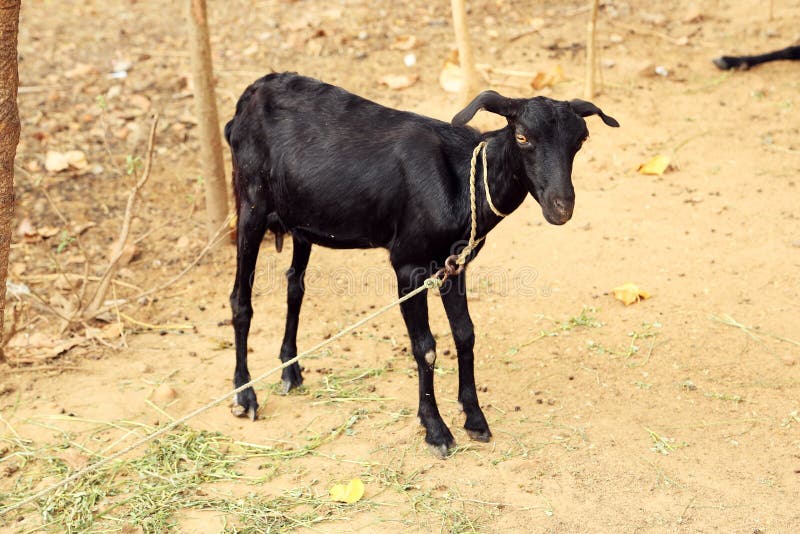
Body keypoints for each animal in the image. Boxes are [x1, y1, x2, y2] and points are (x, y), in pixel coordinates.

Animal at [225, 72, 619, 456]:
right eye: (522, 136)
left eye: (580, 141)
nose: (561, 207)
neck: (462, 182)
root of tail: (252, 93)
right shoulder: (408, 264)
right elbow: (425, 347)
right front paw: (436, 429)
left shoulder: (454, 264)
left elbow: (465, 335)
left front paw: (475, 418)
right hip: (251, 203)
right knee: (241, 301)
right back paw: (244, 395)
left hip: (302, 221)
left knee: (295, 286)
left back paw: (290, 372)